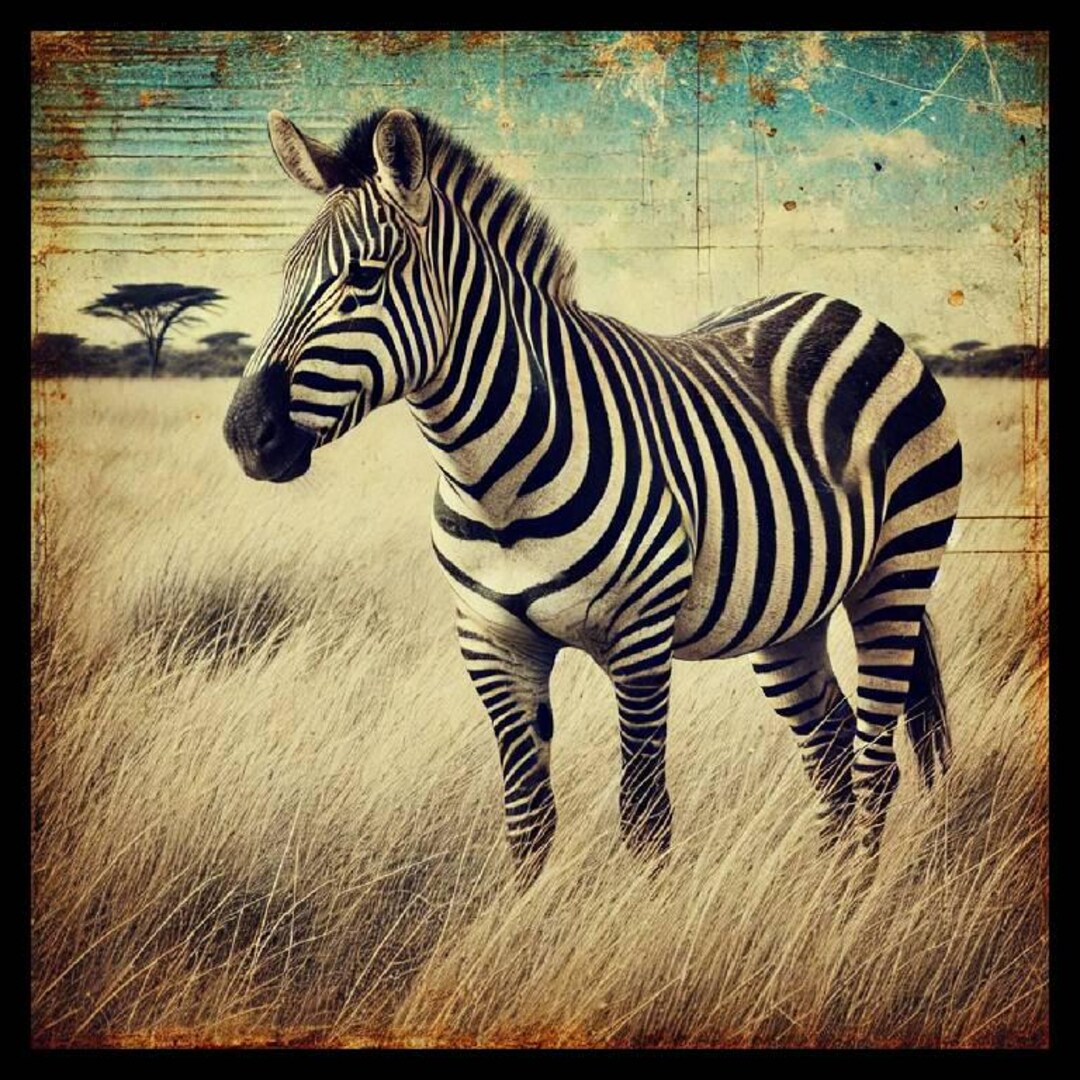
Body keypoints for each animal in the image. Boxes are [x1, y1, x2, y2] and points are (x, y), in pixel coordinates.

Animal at [224, 108, 962, 880]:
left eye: (363, 278)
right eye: (286, 277)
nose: (245, 434)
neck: (495, 485)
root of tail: (839, 302)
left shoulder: (639, 637)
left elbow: (643, 818)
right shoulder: (491, 641)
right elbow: (528, 821)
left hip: (897, 569)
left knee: (875, 760)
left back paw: (858, 894)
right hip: (792, 609)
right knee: (830, 747)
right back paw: (824, 889)